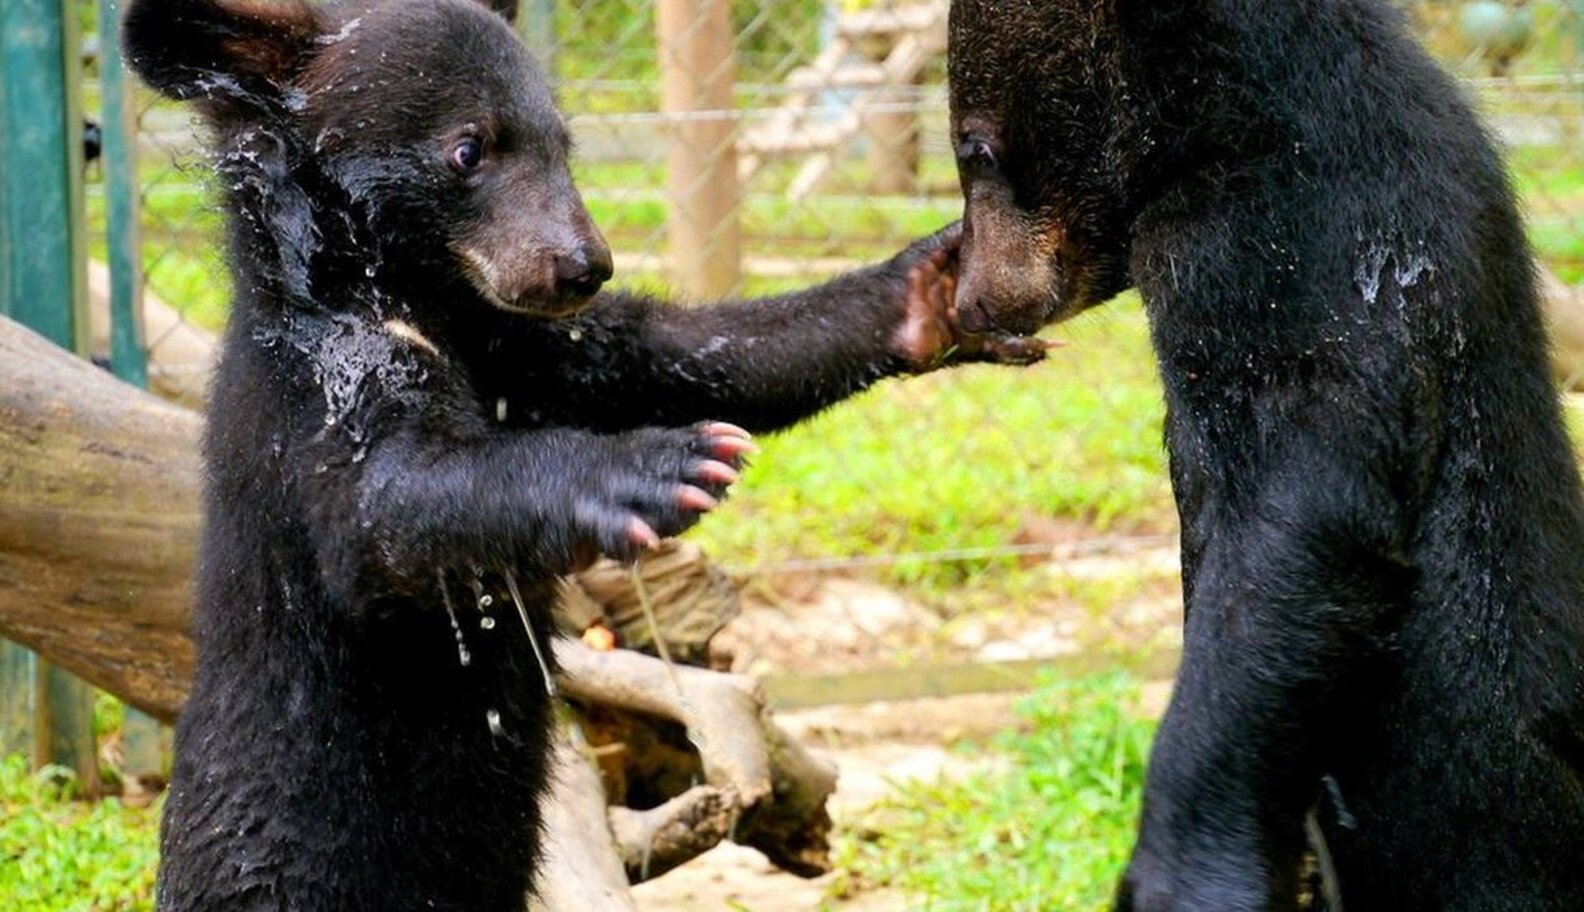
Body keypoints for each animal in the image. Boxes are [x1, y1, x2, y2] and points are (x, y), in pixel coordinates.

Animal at [119, 0, 1045, 908]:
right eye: (470, 147)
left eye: (561, 143)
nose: (582, 264)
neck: (420, 302)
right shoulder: (317, 383)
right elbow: (386, 502)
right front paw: (666, 471)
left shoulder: (522, 349)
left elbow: (662, 354)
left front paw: (930, 290)